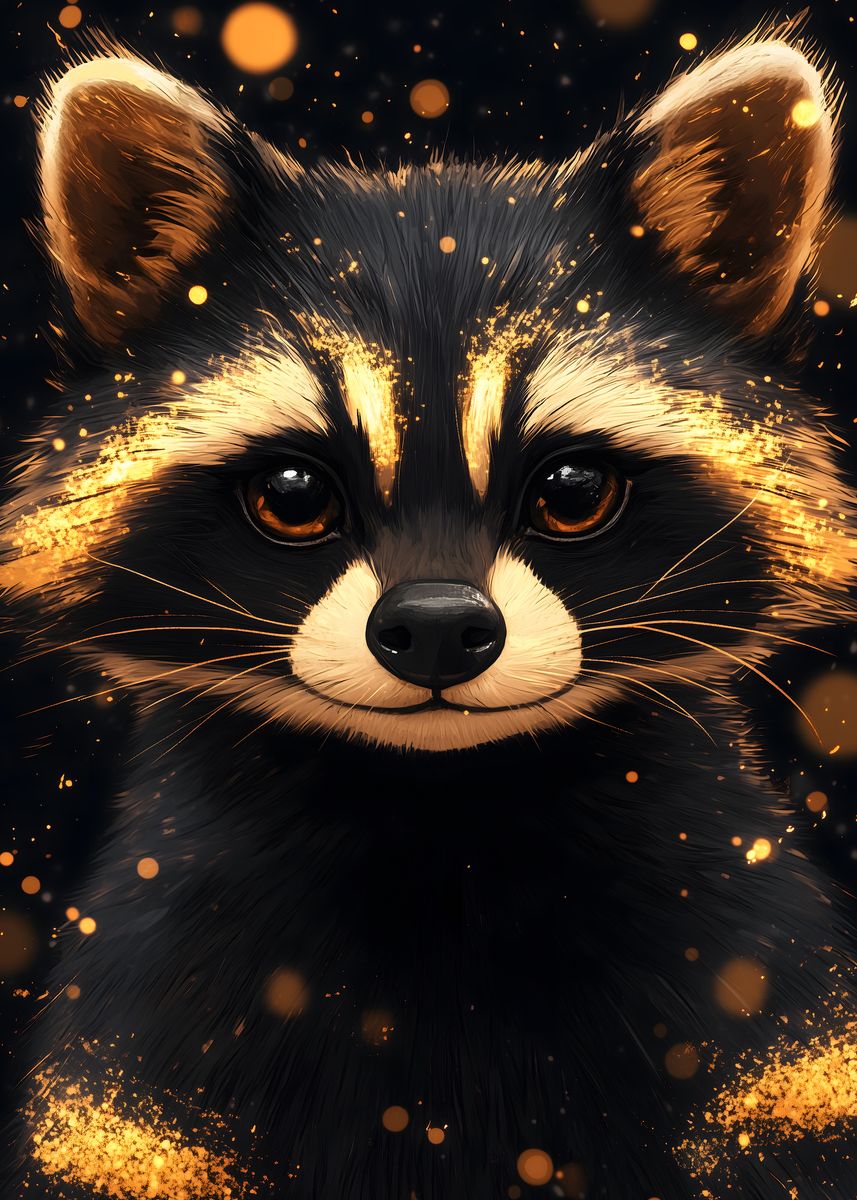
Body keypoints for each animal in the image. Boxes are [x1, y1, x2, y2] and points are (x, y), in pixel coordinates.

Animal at [3, 28, 857, 1200]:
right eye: (295, 494)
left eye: (571, 489)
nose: (442, 626)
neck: (442, 813)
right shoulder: (142, 1058)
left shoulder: (761, 1014)